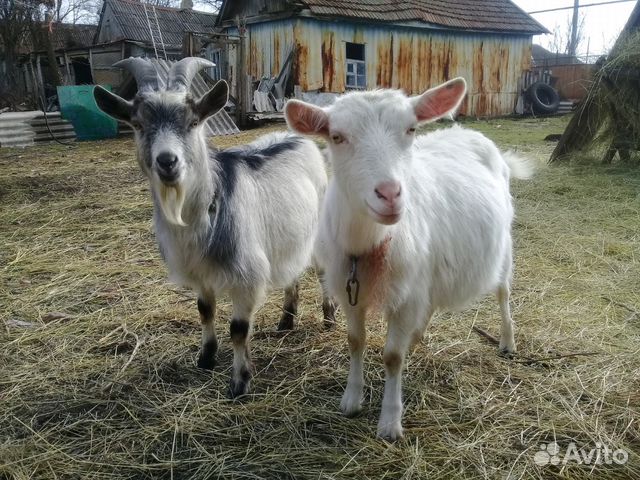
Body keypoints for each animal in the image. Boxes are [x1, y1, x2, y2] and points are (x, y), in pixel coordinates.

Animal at [93, 57, 334, 397]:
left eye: (193, 122)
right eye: (138, 124)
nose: (168, 161)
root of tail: (296, 137)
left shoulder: (246, 277)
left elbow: (239, 329)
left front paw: (239, 382)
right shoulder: (199, 272)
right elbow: (204, 310)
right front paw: (206, 358)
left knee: (323, 271)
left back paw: (329, 318)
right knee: (293, 270)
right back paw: (286, 321)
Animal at [285, 78, 531, 440]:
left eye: (411, 128)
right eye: (337, 136)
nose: (389, 194)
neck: (371, 244)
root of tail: (471, 134)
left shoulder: (405, 296)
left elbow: (392, 356)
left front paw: (389, 422)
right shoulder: (350, 290)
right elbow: (355, 341)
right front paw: (351, 400)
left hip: (502, 249)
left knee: (503, 293)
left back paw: (507, 341)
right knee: (431, 303)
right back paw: (418, 337)